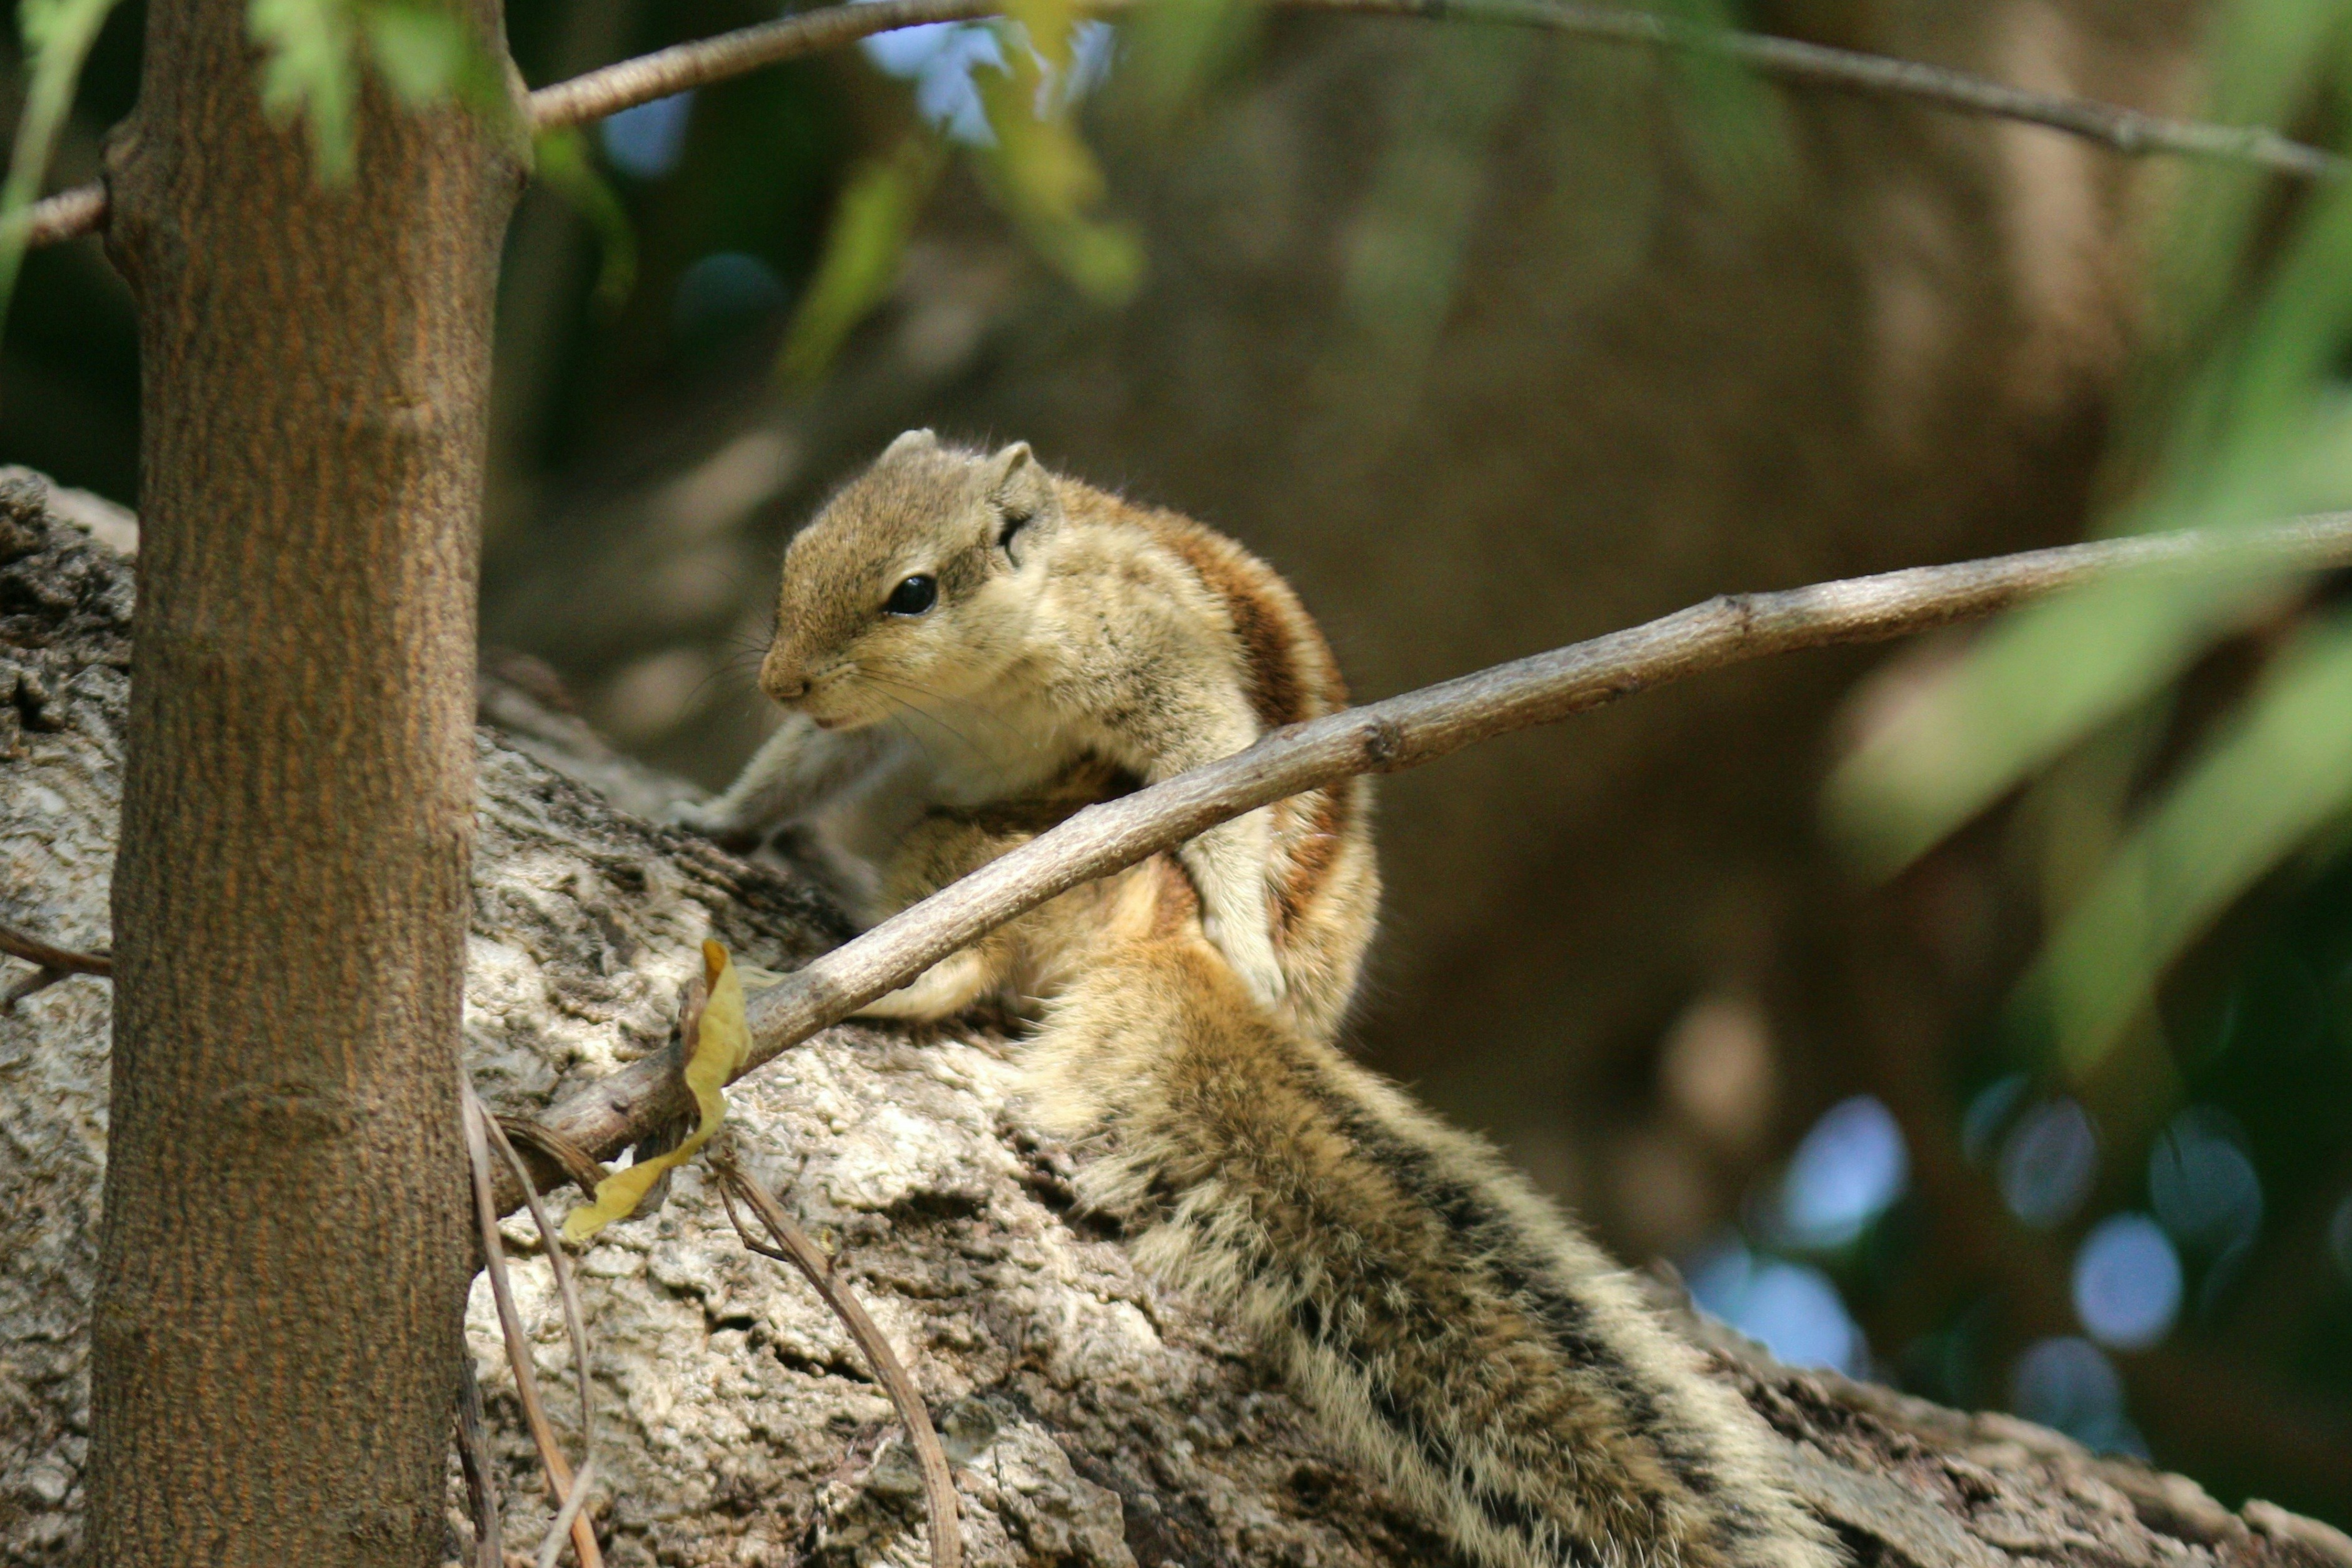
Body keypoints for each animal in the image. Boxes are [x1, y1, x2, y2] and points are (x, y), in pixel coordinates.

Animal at [676, 428, 1378, 1039]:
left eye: (914, 593)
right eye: (798, 551)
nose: (778, 684)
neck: (970, 690)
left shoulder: (1159, 662)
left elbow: (1222, 769)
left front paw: (1244, 939)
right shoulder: (865, 718)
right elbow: (796, 767)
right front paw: (714, 819)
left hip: (963, 847)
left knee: (951, 971)